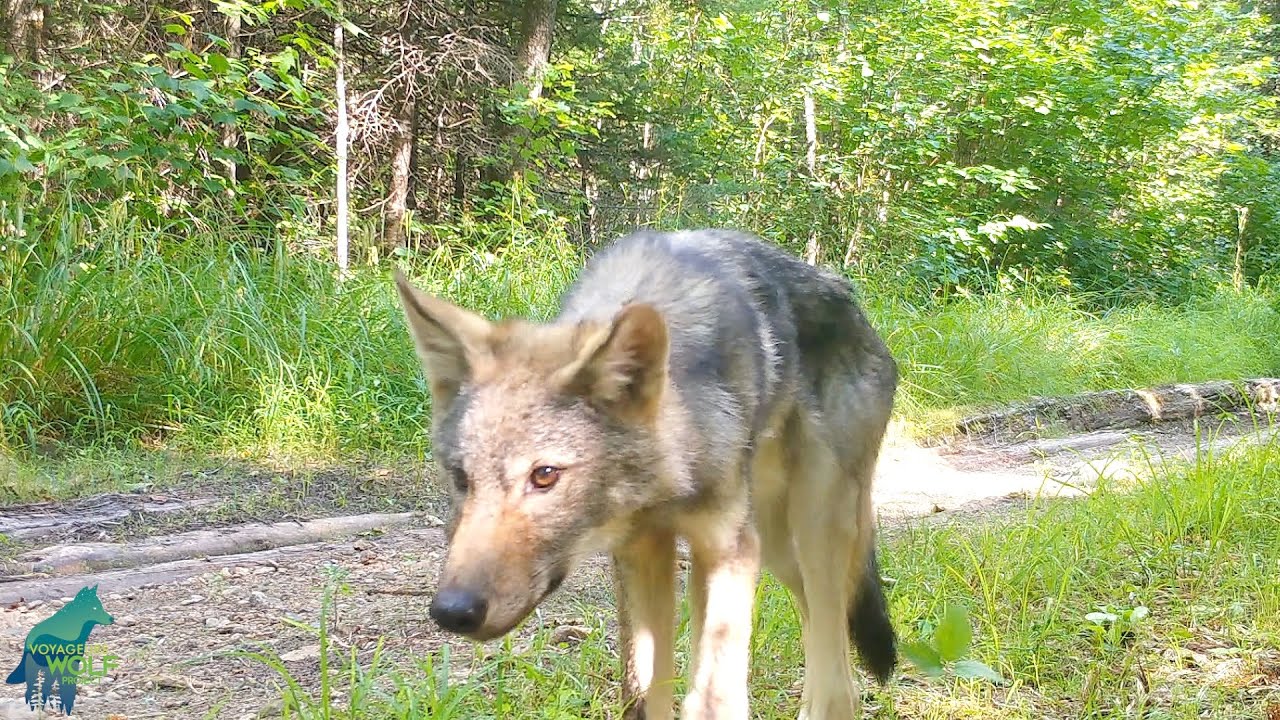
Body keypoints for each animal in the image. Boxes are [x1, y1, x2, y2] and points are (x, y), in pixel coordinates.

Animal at [395, 229, 898, 720]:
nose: (451, 611)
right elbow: (642, 693)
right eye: (461, 477)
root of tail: (853, 304)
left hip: (811, 533)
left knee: (838, 678)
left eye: (544, 476)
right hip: (775, 546)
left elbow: (712, 698)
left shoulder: (728, 548)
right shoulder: (641, 554)